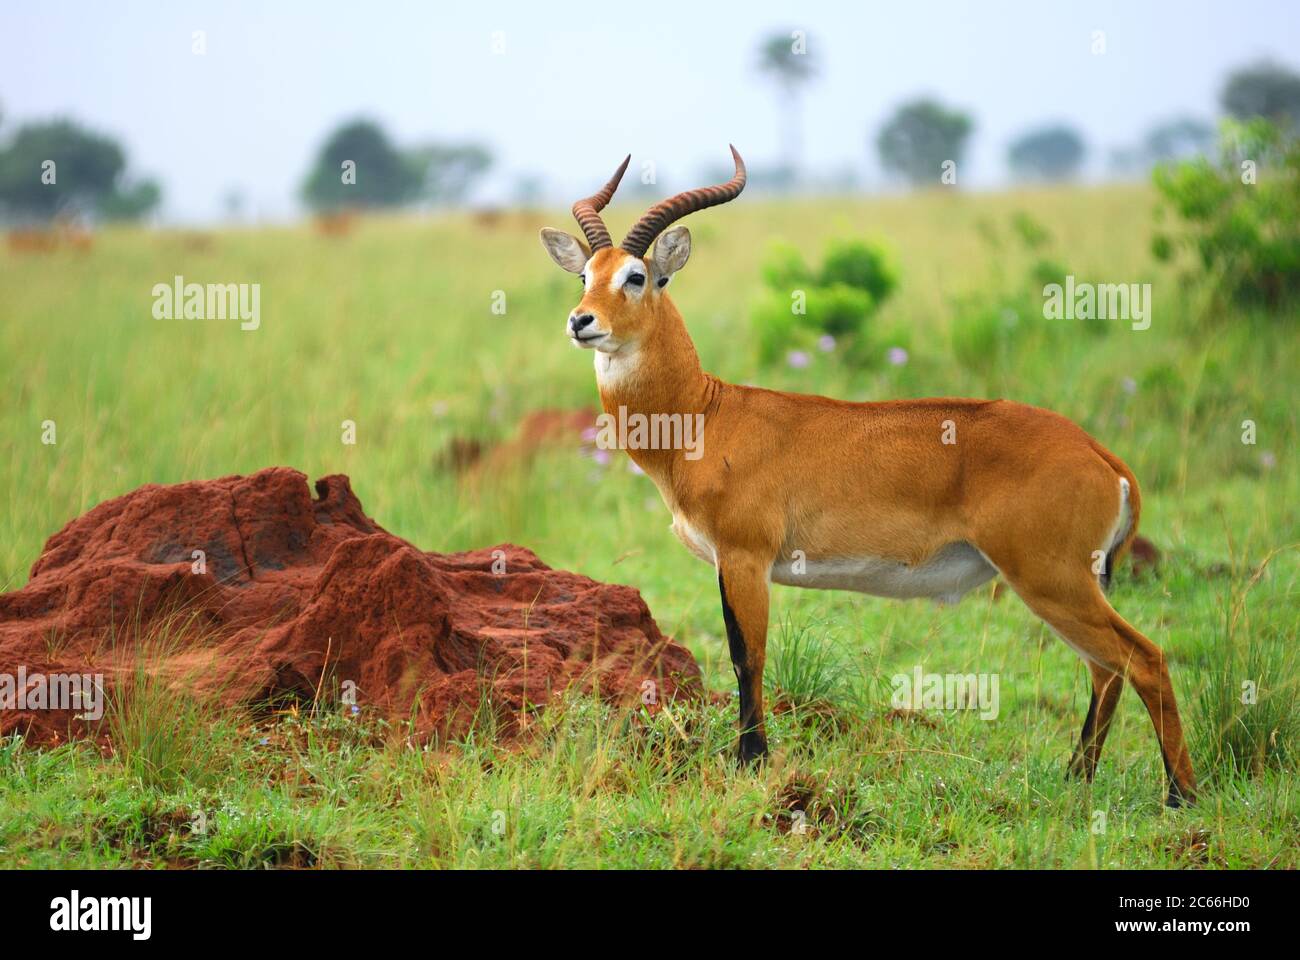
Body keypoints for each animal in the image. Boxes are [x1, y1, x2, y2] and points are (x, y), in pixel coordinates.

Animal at [538, 147, 1197, 806]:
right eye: (584, 275)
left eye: (637, 276)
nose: (580, 321)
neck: (704, 414)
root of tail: (1099, 453)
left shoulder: (745, 558)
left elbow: (746, 655)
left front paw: (751, 762)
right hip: (1068, 585)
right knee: (1106, 670)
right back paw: (1076, 779)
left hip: (1052, 580)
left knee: (1145, 659)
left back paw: (1179, 795)